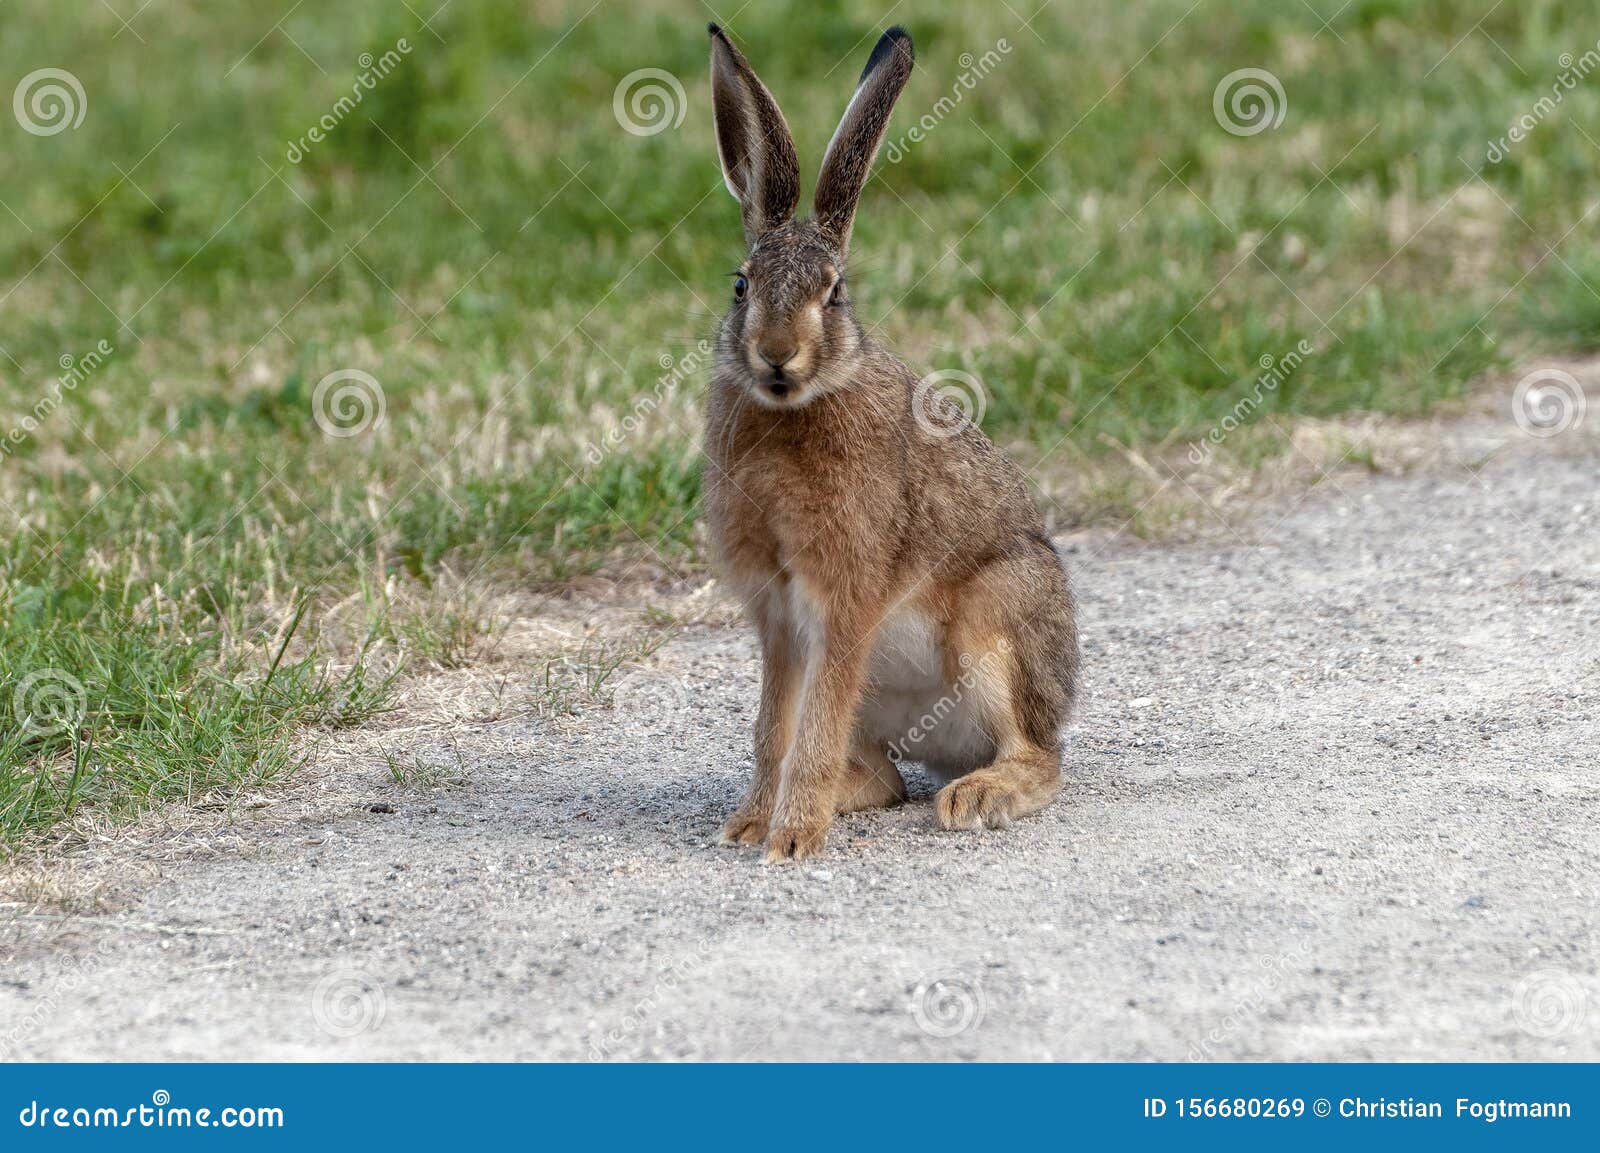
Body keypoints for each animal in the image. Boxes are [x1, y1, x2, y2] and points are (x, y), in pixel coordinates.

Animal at [703, 24, 1079, 862]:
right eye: (741, 286)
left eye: (834, 293)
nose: (776, 356)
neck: (797, 407)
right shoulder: (779, 619)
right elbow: (773, 729)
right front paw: (750, 822)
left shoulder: (844, 599)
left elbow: (804, 731)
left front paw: (790, 838)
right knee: (885, 778)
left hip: (994, 626)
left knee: (1040, 757)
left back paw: (977, 796)